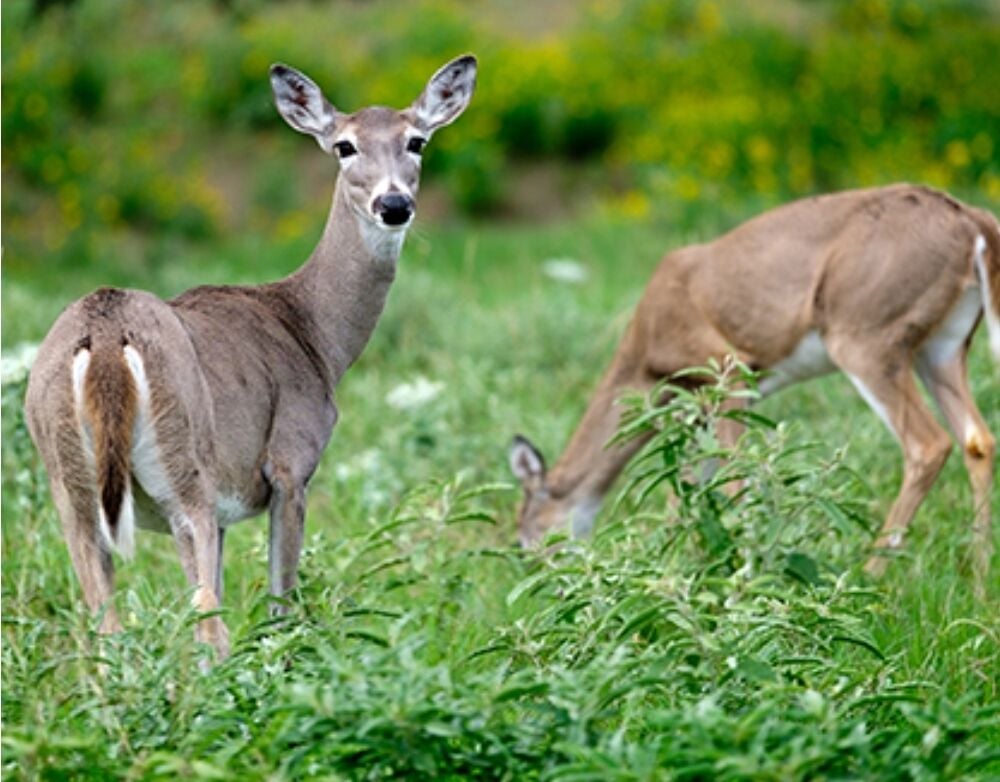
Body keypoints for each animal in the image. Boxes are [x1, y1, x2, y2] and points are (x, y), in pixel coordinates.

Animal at [24, 54, 478, 659]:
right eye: (344, 146)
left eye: (417, 141)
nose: (394, 205)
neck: (315, 335)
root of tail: (104, 336)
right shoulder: (289, 463)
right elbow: (280, 604)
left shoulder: (223, 512)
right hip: (183, 469)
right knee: (206, 625)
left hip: (71, 488)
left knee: (106, 631)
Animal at [510, 184, 999, 595]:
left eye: (524, 539)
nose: (547, 587)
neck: (645, 355)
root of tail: (974, 224)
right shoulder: (704, 403)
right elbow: (688, 488)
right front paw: (678, 570)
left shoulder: (728, 369)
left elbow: (733, 481)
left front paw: (739, 576)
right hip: (943, 345)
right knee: (977, 438)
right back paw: (978, 586)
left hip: (866, 334)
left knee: (928, 444)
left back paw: (867, 578)